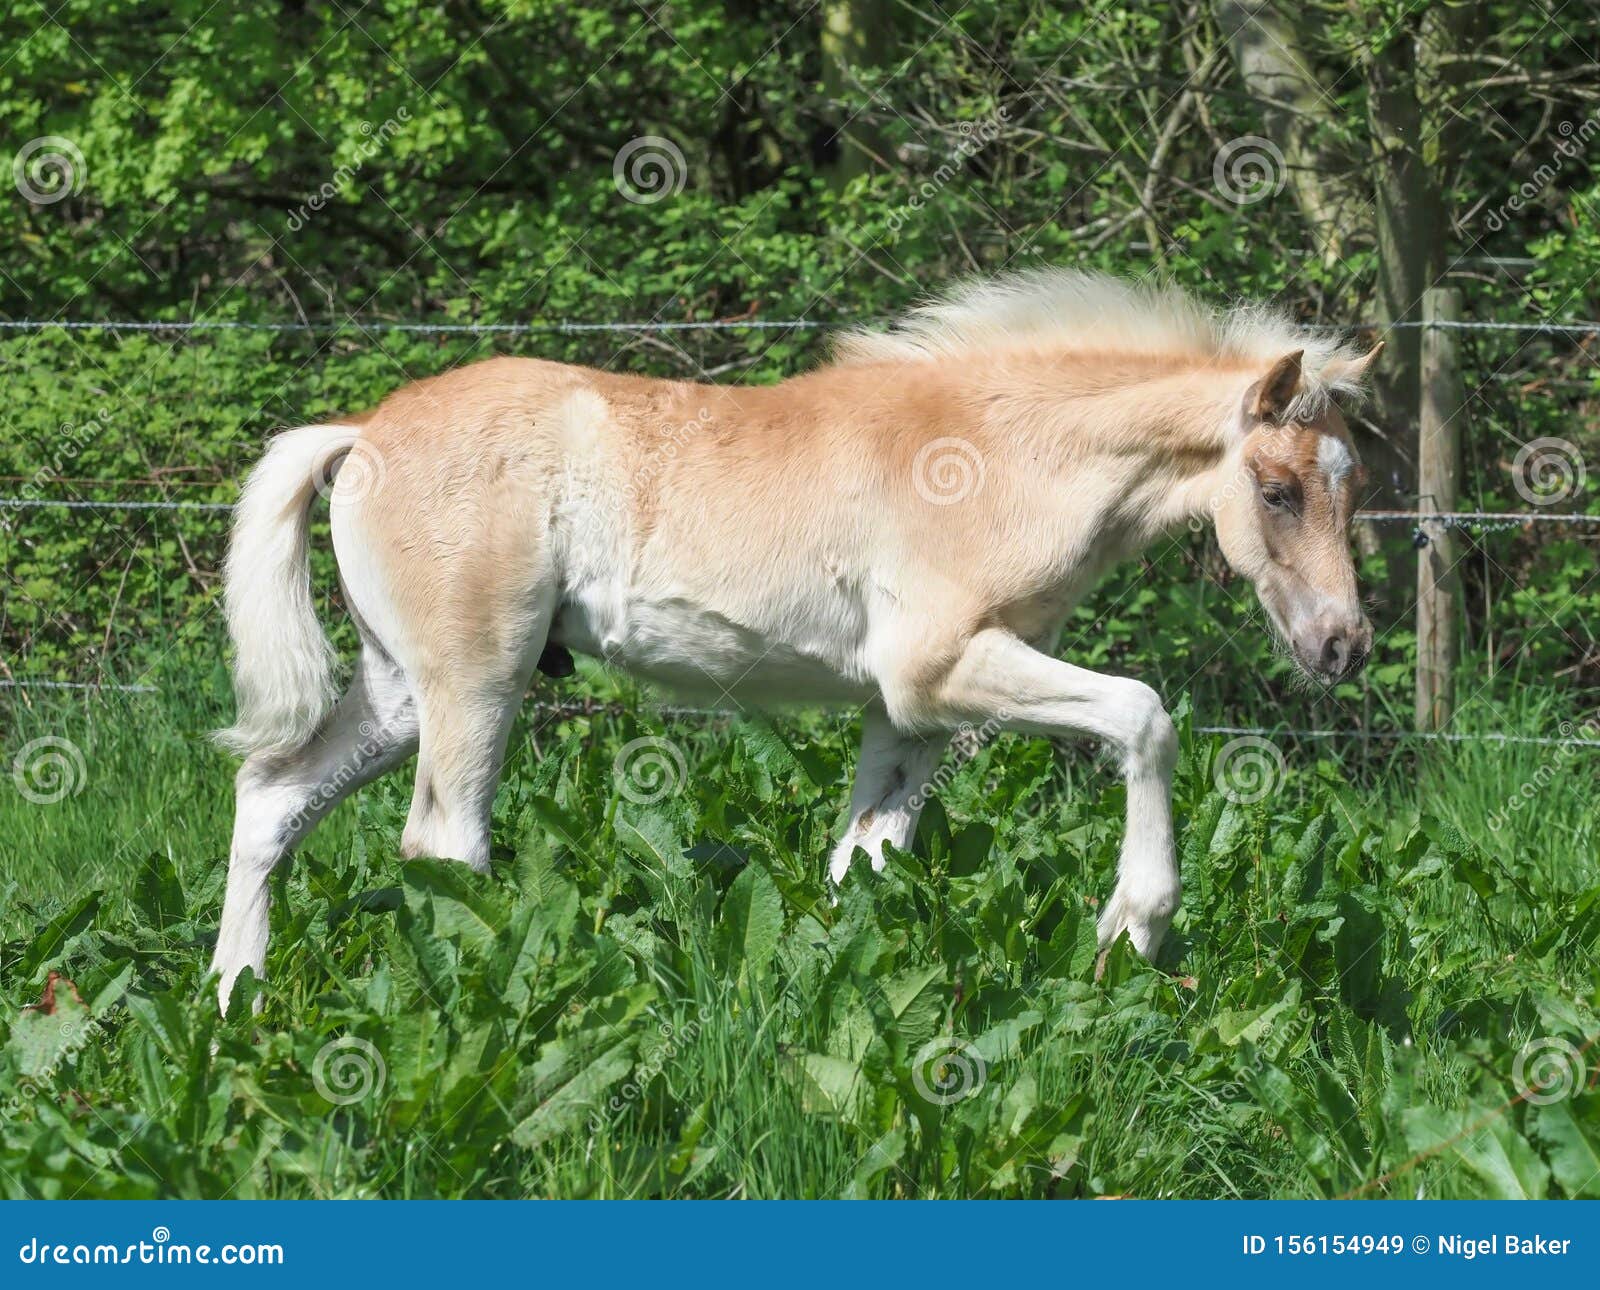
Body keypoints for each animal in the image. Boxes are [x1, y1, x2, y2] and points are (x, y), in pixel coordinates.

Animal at [209, 270, 1380, 1011]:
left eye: (1353, 484)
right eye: (1276, 491)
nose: (1342, 647)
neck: (1001, 448)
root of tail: (361, 431)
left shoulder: (906, 714)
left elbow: (862, 860)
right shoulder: (943, 671)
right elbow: (1144, 716)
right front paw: (1132, 927)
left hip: (400, 688)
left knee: (270, 800)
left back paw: (234, 1006)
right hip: (474, 682)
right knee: (443, 849)